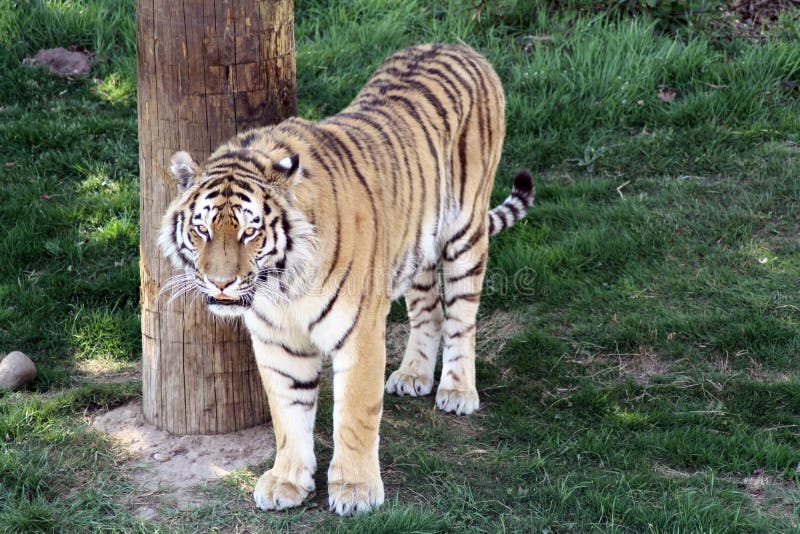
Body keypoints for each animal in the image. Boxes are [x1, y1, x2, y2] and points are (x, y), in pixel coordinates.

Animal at [159, 43, 534, 515]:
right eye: (202, 230)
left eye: (249, 231)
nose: (221, 284)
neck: (283, 287)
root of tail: (459, 45)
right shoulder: (276, 339)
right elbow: (288, 414)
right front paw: (287, 482)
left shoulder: (359, 333)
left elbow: (355, 413)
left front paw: (355, 491)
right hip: (415, 245)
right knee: (428, 310)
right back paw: (413, 374)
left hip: (465, 232)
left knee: (462, 318)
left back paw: (458, 391)